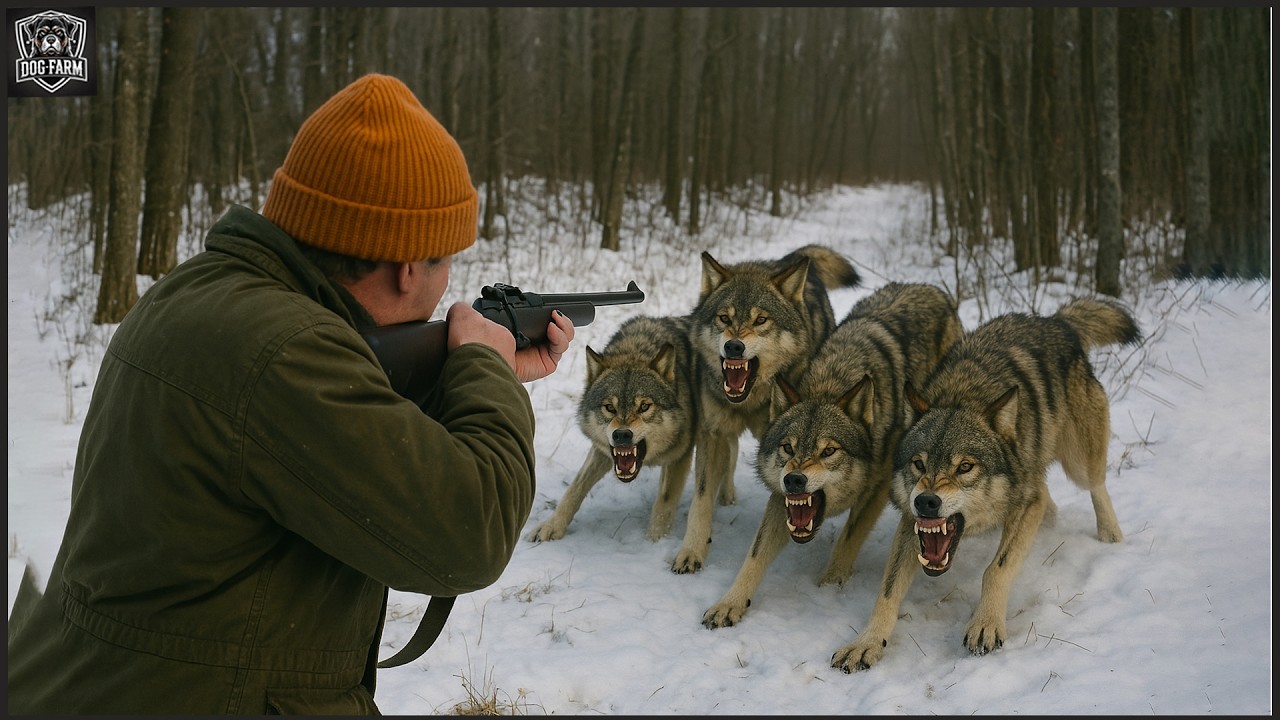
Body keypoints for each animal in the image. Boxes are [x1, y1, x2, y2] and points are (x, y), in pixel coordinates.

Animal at [528, 314, 698, 543]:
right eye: (610, 407)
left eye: (644, 406)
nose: (622, 435)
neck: (637, 347)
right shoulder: (601, 450)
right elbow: (575, 488)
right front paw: (552, 526)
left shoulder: (679, 456)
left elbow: (664, 505)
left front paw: (654, 542)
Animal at [672, 245, 861, 574]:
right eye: (724, 318)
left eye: (761, 320)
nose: (734, 347)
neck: (749, 401)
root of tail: (790, 259)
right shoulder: (712, 433)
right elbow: (701, 498)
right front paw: (691, 551)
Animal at [702, 283, 962, 628]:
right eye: (788, 448)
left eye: (828, 451)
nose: (794, 480)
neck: (831, 381)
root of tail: (931, 288)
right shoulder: (780, 499)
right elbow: (754, 555)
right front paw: (729, 604)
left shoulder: (877, 489)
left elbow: (849, 538)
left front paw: (829, 585)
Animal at [830, 297, 1141, 672]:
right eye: (919, 464)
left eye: (965, 467)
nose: (926, 502)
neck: (963, 394)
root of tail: (1053, 320)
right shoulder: (910, 523)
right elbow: (888, 590)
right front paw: (866, 643)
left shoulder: (1025, 504)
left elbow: (996, 569)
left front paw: (985, 624)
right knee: (1050, 498)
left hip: (1079, 462)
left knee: (1096, 486)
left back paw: (1111, 535)